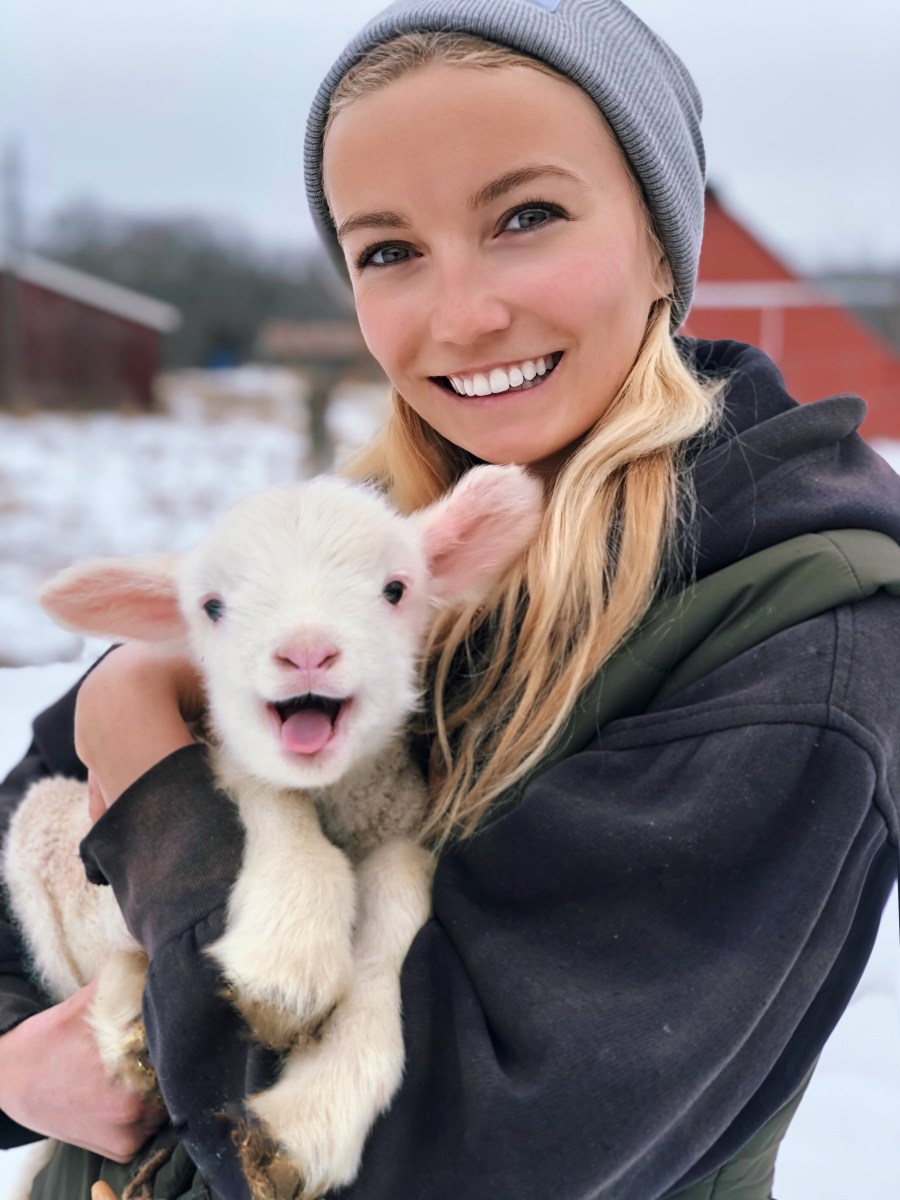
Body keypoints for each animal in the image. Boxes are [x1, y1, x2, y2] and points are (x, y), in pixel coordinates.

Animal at [3, 464, 543, 1200]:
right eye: (211, 607)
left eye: (396, 589)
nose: (306, 653)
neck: (339, 803)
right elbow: (259, 788)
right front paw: (288, 964)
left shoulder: (401, 822)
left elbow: (402, 879)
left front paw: (310, 1117)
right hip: (38, 837)